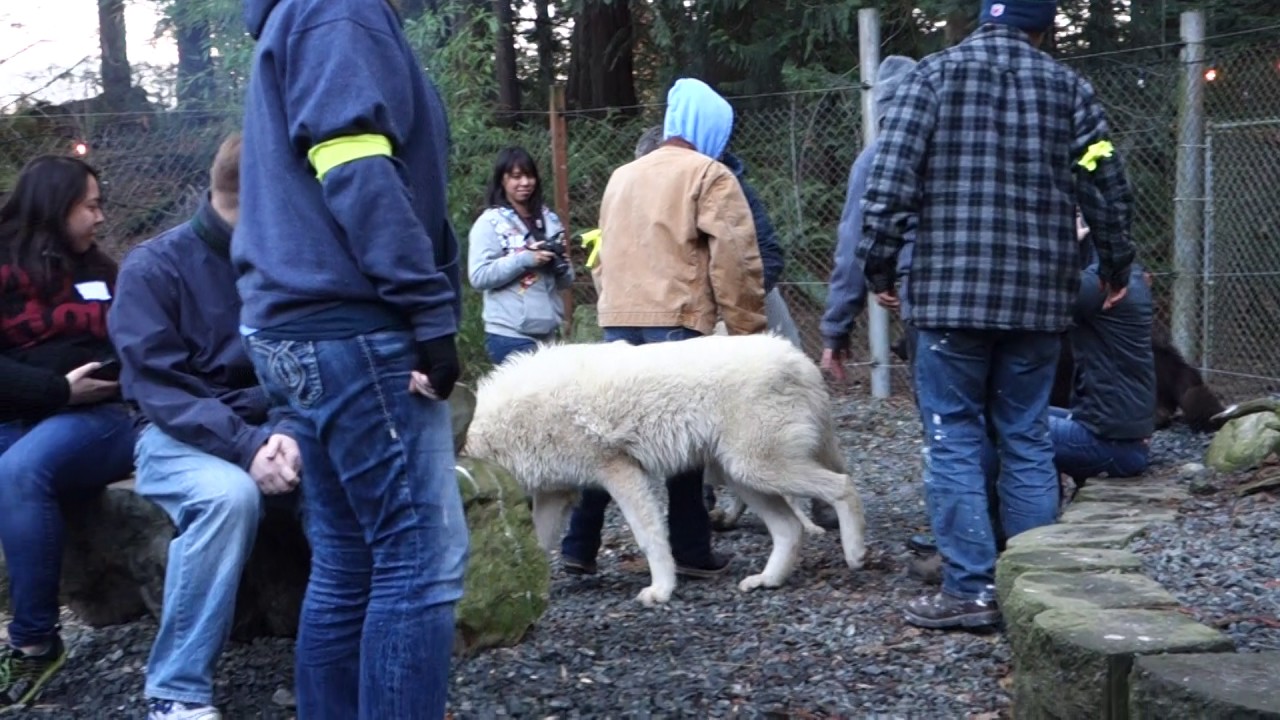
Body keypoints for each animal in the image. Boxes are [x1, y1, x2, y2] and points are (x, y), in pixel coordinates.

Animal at [462, 332, 868, 606]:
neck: (505, 425)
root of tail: (797, 357)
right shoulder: (555, 494)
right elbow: (539, 545)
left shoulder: (620, 473)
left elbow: (651, 537)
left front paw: (661, 590)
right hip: (744, 477)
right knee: (789, 529)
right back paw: (767, 580)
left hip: (759, 469)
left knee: (843, 485)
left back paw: (855, 553)